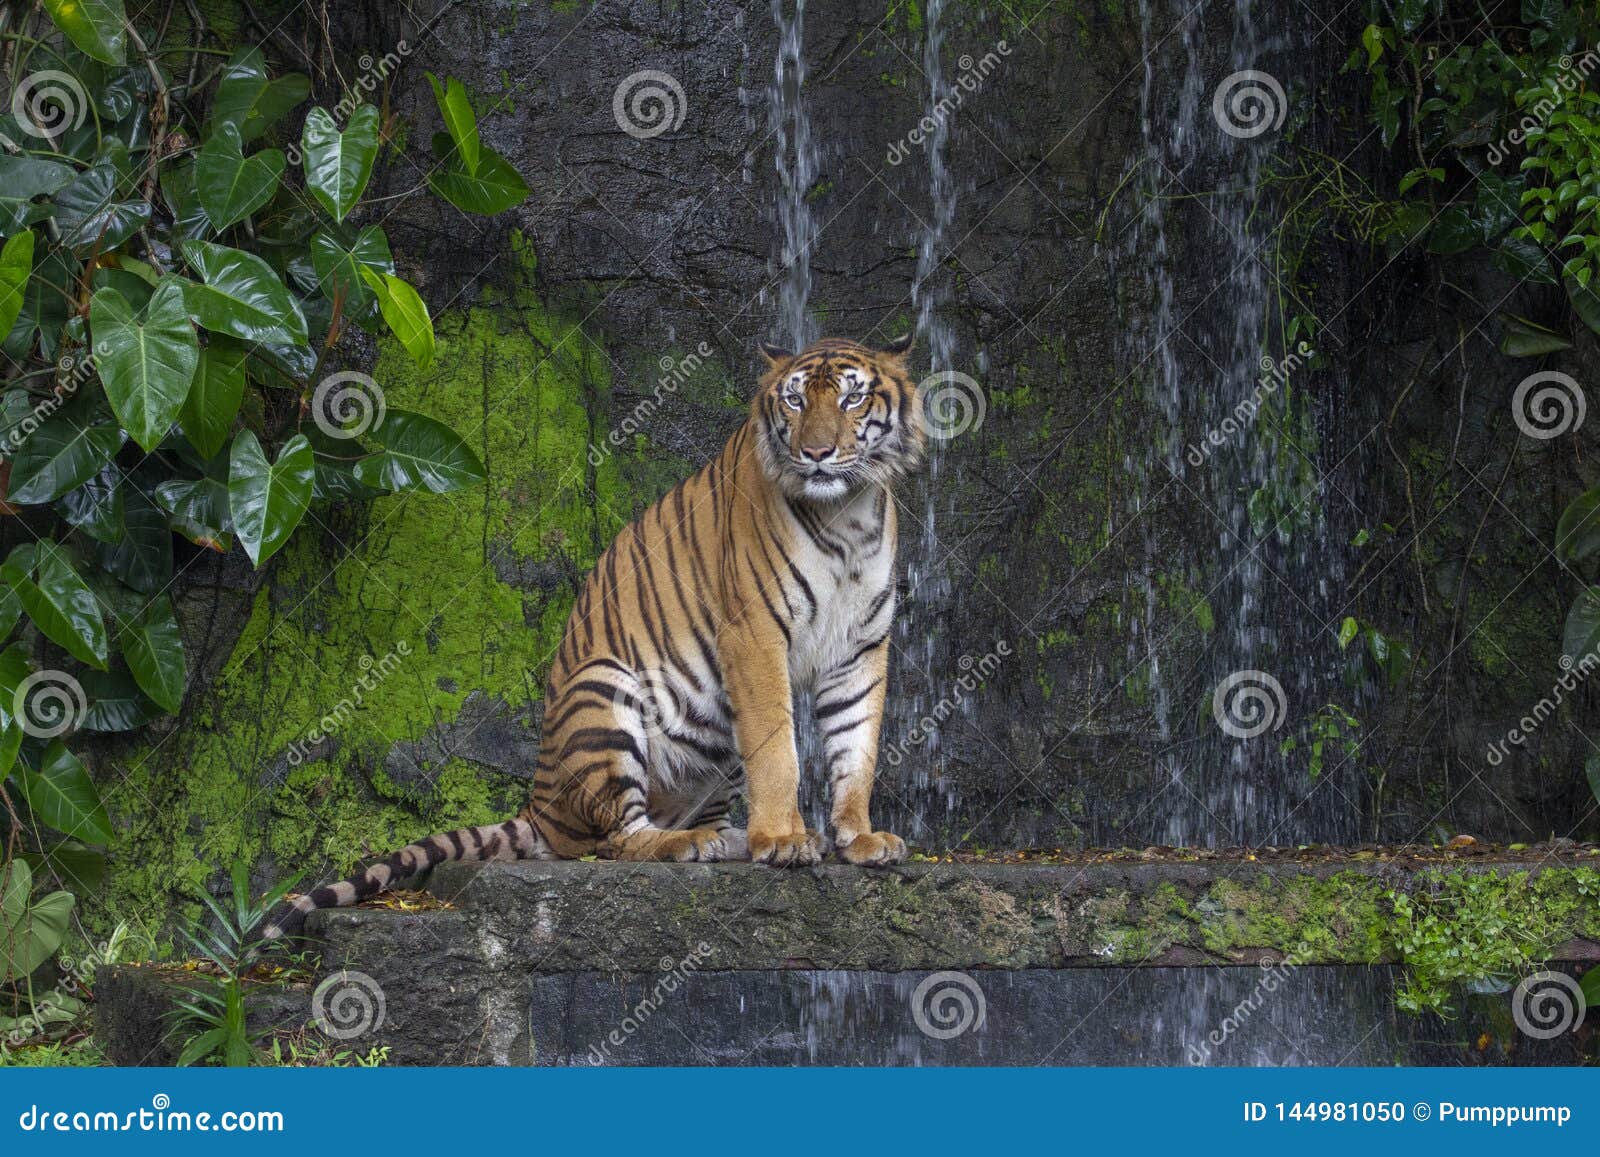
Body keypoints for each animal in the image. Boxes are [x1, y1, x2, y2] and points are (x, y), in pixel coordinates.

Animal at [268, 334, 924, 940]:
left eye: (852, 397)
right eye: (794, 400)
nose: (815, 453)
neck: (847, 516)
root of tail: (537, 801)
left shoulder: (862, 649)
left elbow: (856, 746)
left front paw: (859, 837)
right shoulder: (754, 634)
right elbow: (778, 750)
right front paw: (784, 840)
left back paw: (724, 837)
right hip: (605, 690)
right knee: (612, 841)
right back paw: (690, 845)